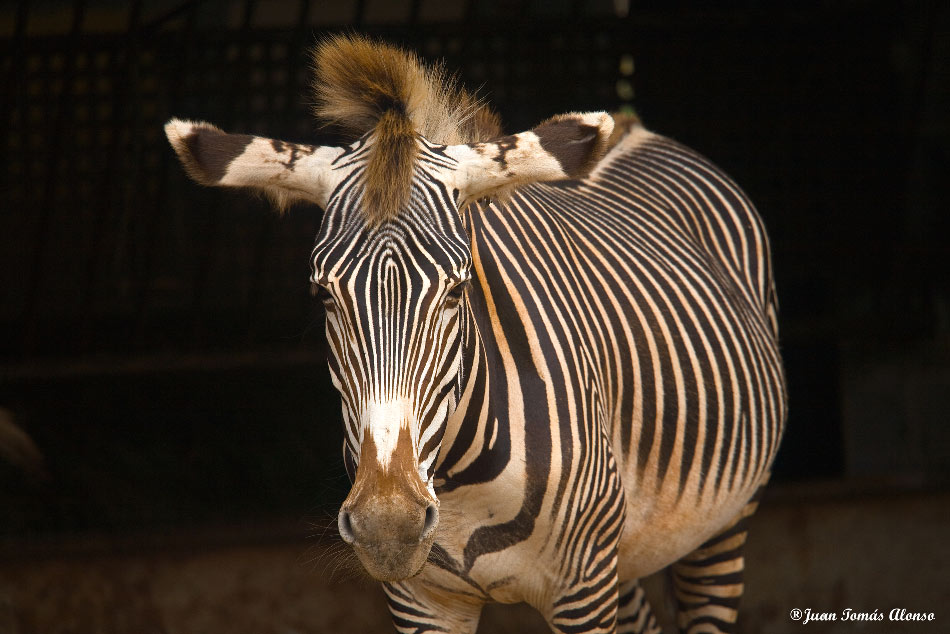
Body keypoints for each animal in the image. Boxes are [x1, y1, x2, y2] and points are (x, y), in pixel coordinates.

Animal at [165, 34, 786, 634]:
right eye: (322, 295)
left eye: (457, 289)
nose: (388, 527)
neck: (464, 485)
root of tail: (638, 131)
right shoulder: (422, 601)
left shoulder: (583, 589)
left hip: (725, 521)